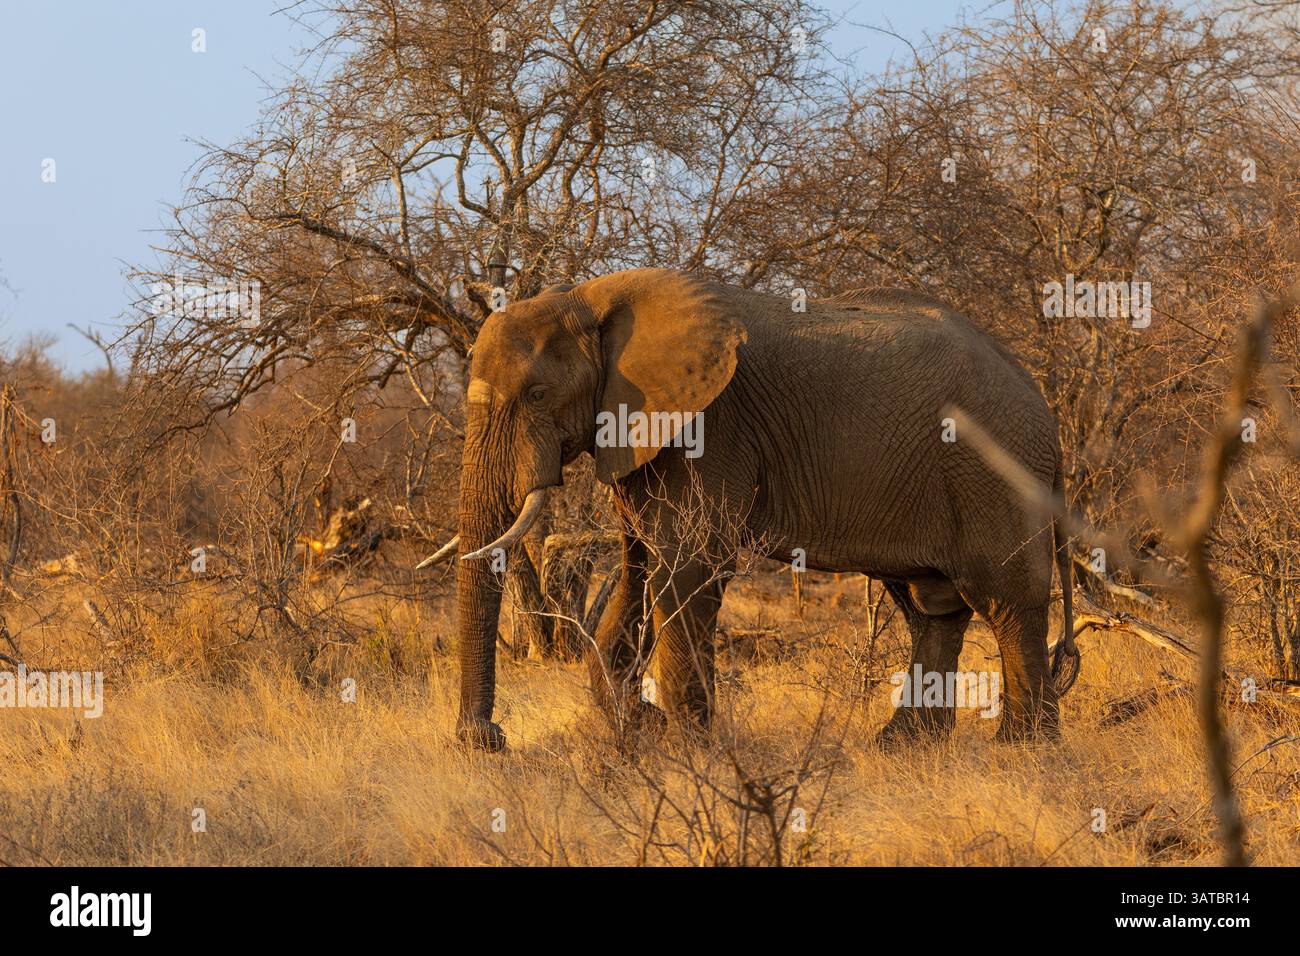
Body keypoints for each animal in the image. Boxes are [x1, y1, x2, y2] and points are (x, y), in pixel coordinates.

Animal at [423, 268, 1079, 752]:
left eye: (537, 395)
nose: (487, 739)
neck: (589, 299)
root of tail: (1048, 415)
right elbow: (639, 567)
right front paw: (642, 730)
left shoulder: (711, 429)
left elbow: (687, 568)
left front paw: (688, 750)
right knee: (933, 607)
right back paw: (903, 746)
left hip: (995, 472)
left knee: (1008, 600)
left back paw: (1021, 750)